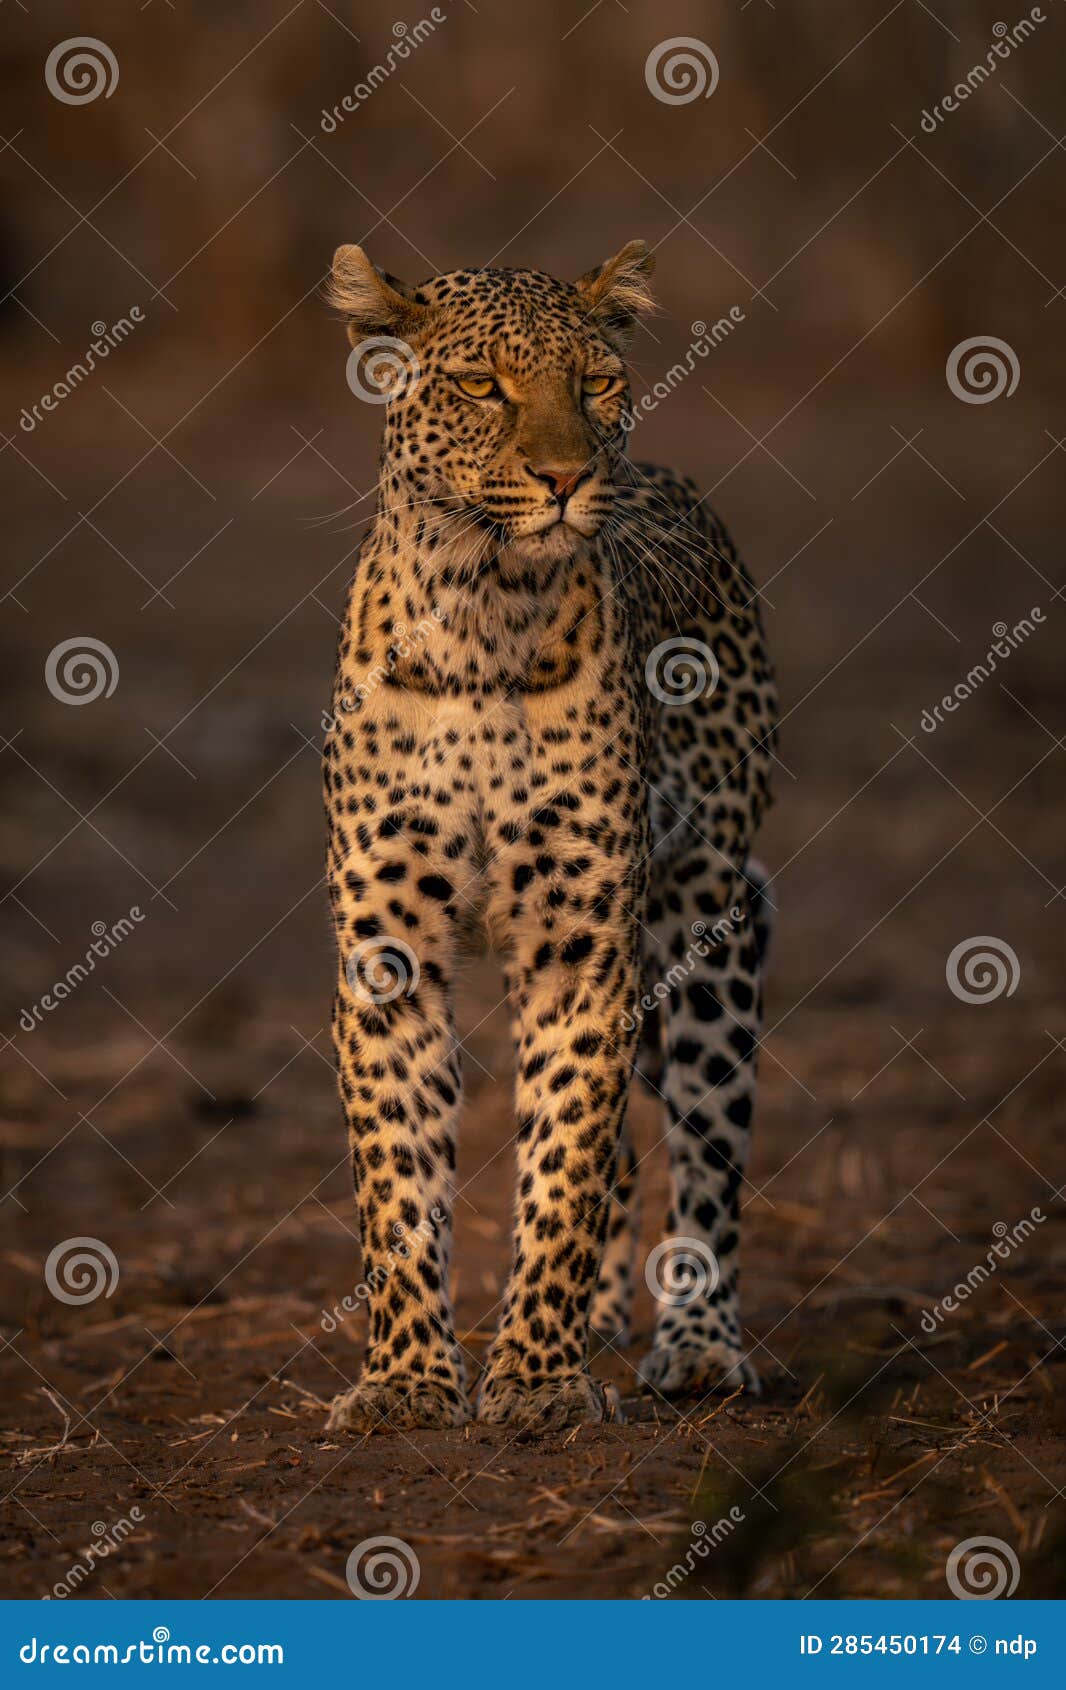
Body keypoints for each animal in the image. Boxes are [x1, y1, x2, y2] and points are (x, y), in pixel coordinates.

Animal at [321, 239, 777, 1435]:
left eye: (597, 382)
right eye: (483, 386)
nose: (568, 479)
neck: (486, 614)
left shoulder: (582, 946)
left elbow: (565, 1160)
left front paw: (535, 1377)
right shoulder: (386, 947)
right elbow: (398, 1178)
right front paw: (405, 1382)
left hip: (711, 914)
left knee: (704, 1148)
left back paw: (695, 1346)